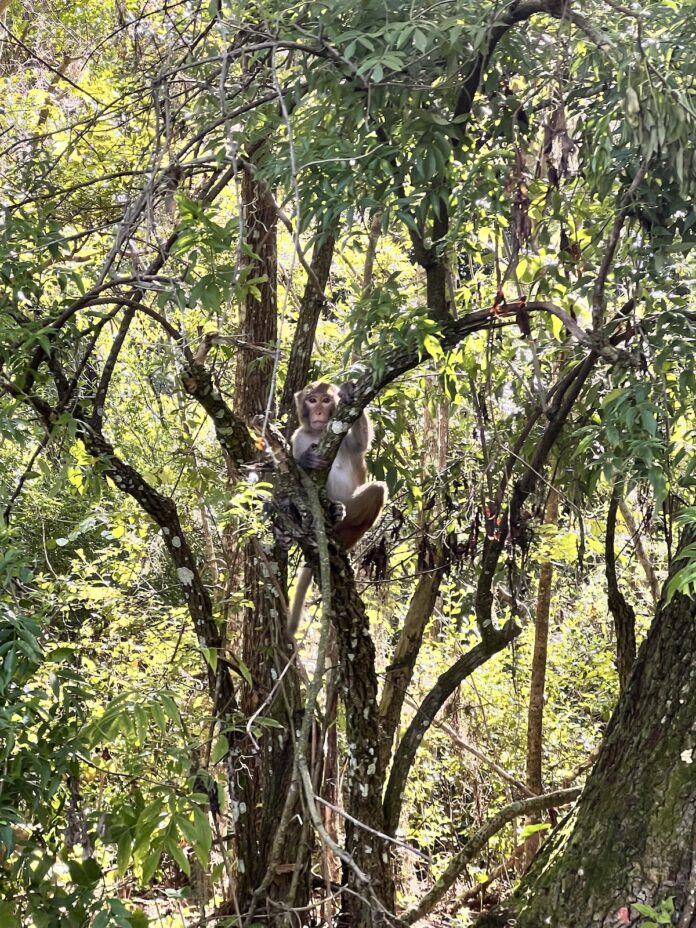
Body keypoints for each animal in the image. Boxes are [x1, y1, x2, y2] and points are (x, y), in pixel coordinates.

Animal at [288, 380, 387, 632]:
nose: (318, 412)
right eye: (312, 400)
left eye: (326, 400)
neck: (318, 432)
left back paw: (337, 517)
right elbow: (292, 484)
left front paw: (348, 390)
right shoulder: (298, 438)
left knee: (376, 491)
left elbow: (361, 444)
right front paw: (304, 460)